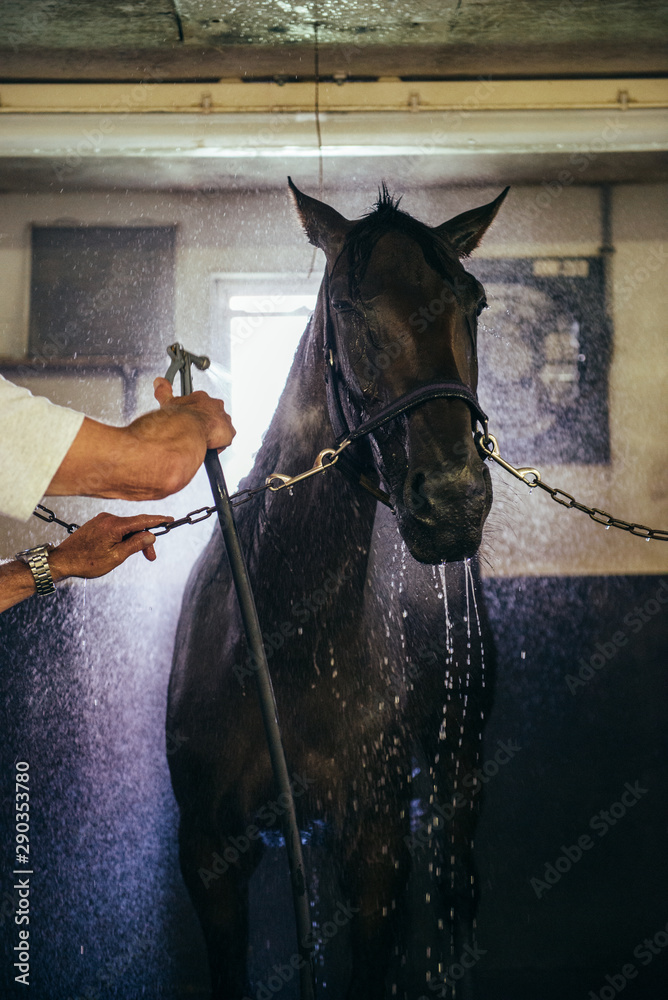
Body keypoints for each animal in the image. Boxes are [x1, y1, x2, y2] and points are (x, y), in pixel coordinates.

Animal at [167, 179, 508, 1000]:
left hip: (459, 774)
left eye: (475, 303)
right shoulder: (210, 853)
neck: (281, 639)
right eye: (349, 308)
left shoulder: (376, 851)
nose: (453, 501)